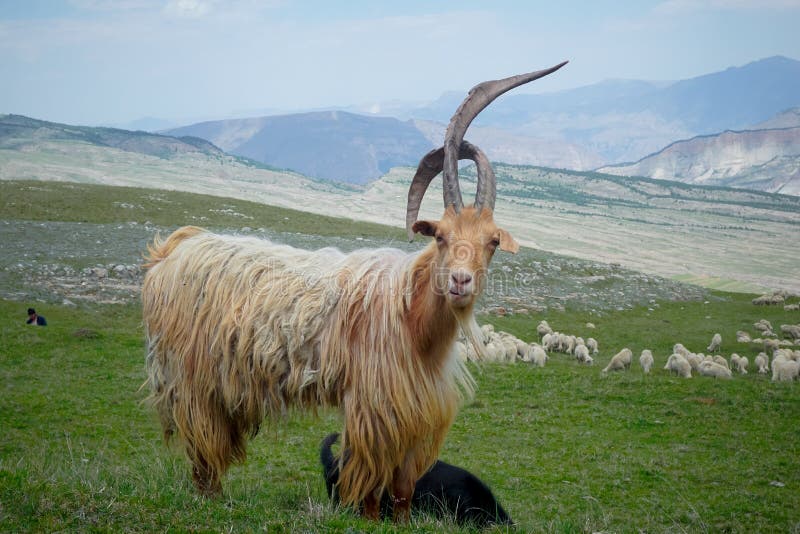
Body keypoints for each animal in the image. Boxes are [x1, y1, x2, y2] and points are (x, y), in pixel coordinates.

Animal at [141, 62, 567, 522]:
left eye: (492, 242)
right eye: (440, 236)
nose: (459, 281)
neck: (411, 318)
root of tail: (172, 251)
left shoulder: (416, 411)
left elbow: (402, 487)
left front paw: (401, 523)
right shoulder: (373, 406)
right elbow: (370, 484)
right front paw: (370, 519)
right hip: (193, 379)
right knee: (203, 447)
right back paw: (211, 501)